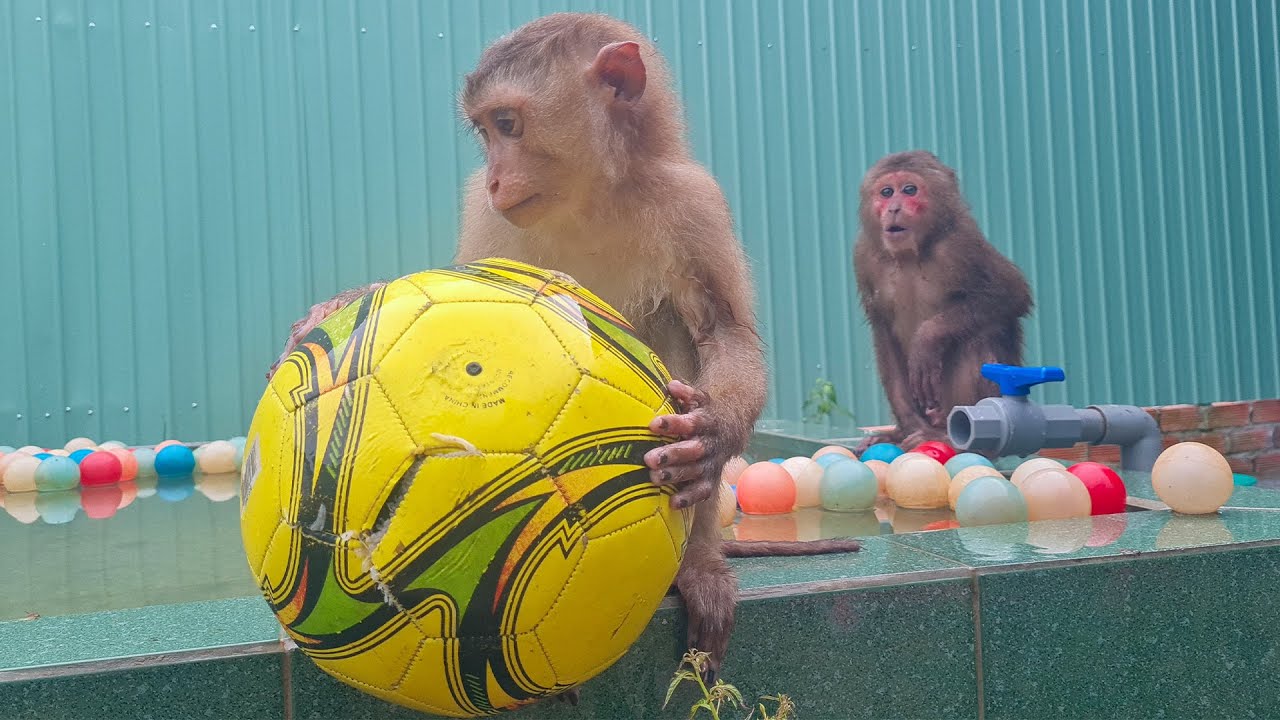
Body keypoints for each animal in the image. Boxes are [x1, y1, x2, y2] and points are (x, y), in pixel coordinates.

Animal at [269, 12, 861, 689]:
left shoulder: (694, 202)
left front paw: (714, 432)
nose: (496, 177)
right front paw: (335, 307)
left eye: (507, 124)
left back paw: (699, 565)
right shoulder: (486, 212)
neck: (590, 197)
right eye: (486, 134)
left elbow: (722, 334)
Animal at [853, 150, 1033, 450]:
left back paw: (952, 435)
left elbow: (1011, 293)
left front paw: (927, 338)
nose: (894, 208)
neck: (911, 253)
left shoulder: (962, 243)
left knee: (978, 336)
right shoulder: (864, 255)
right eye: (887, 192)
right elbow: (883, 330)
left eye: (909, 190)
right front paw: (907, 426)